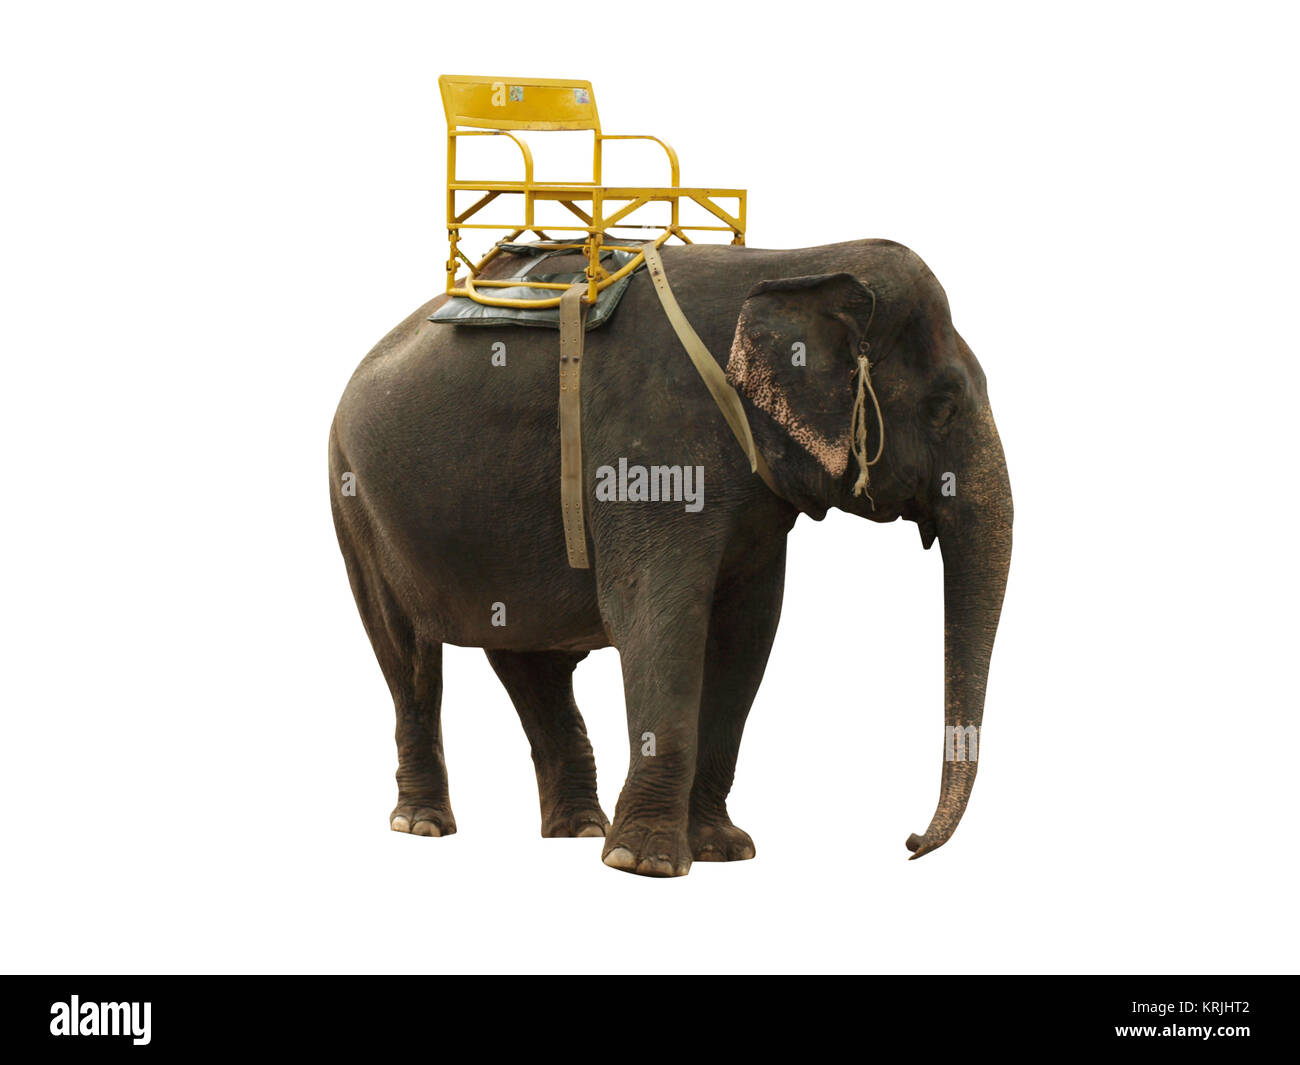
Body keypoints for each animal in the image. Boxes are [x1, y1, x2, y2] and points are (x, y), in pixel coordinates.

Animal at [328, 237, 1012, 877]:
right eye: (945, 406)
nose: (909, 843)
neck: (795, 263)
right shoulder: (649, 446)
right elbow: (657, 617)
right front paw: (646, 864)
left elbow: (747, 631)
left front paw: (720, 851)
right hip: (354, 502)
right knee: (407, 655)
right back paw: (423, 825)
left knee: (529, 661)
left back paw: (578, 831)